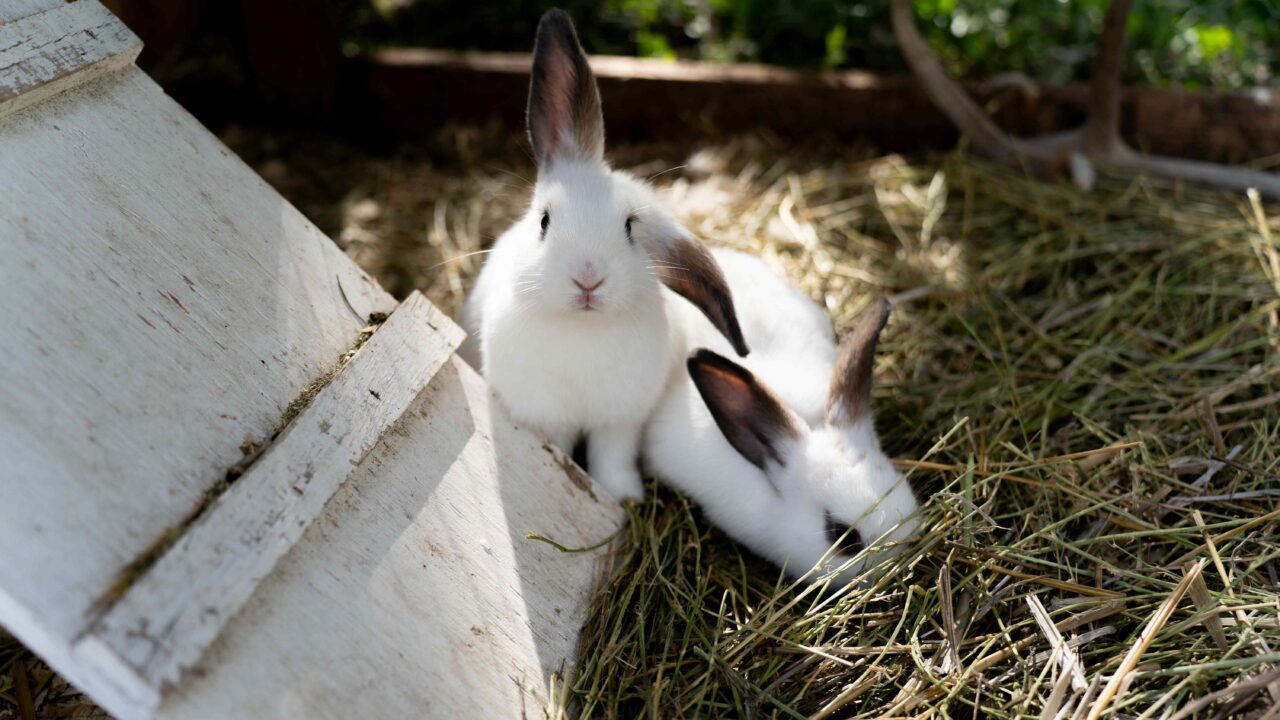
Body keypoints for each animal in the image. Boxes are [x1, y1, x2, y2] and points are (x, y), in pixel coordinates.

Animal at [457, 9, 748, 501]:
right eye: (544, 221)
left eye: (630, 227)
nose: (588, 278)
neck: (584, 332)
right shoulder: (547, 416)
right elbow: (558, 454)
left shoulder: (621, 420)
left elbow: (613, 457)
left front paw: (624, 496)